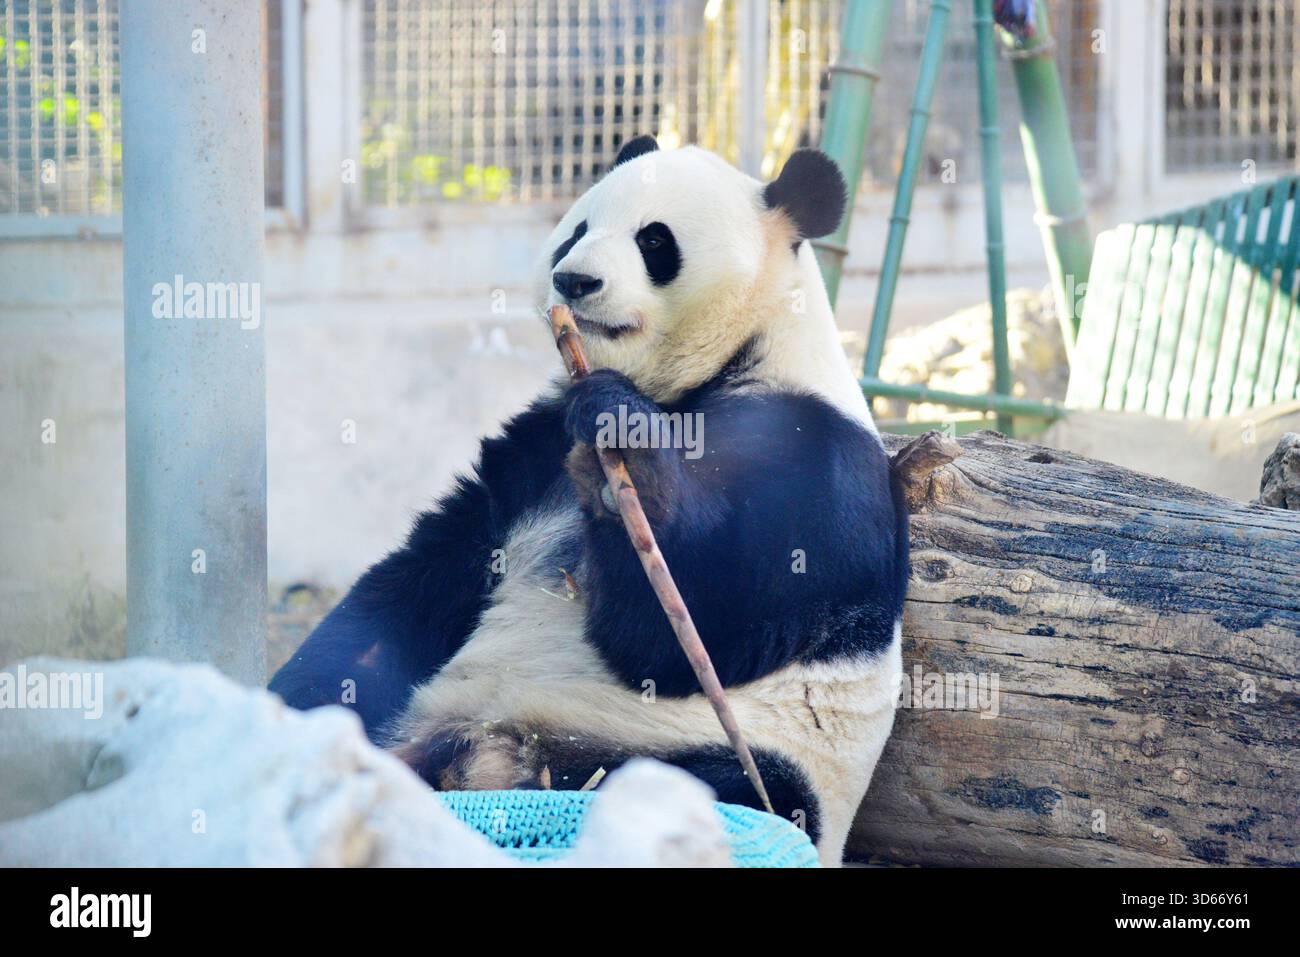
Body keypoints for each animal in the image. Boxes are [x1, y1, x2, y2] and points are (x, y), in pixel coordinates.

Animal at [269, 136, 908, 866]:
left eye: (654, 240)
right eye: (576, 230)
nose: (573, 281)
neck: (695, 379)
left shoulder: (813, 457)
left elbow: (698, 630)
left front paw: (626, 446)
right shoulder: (536, 450)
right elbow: (424, 577)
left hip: (719, 751)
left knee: (724, 789)